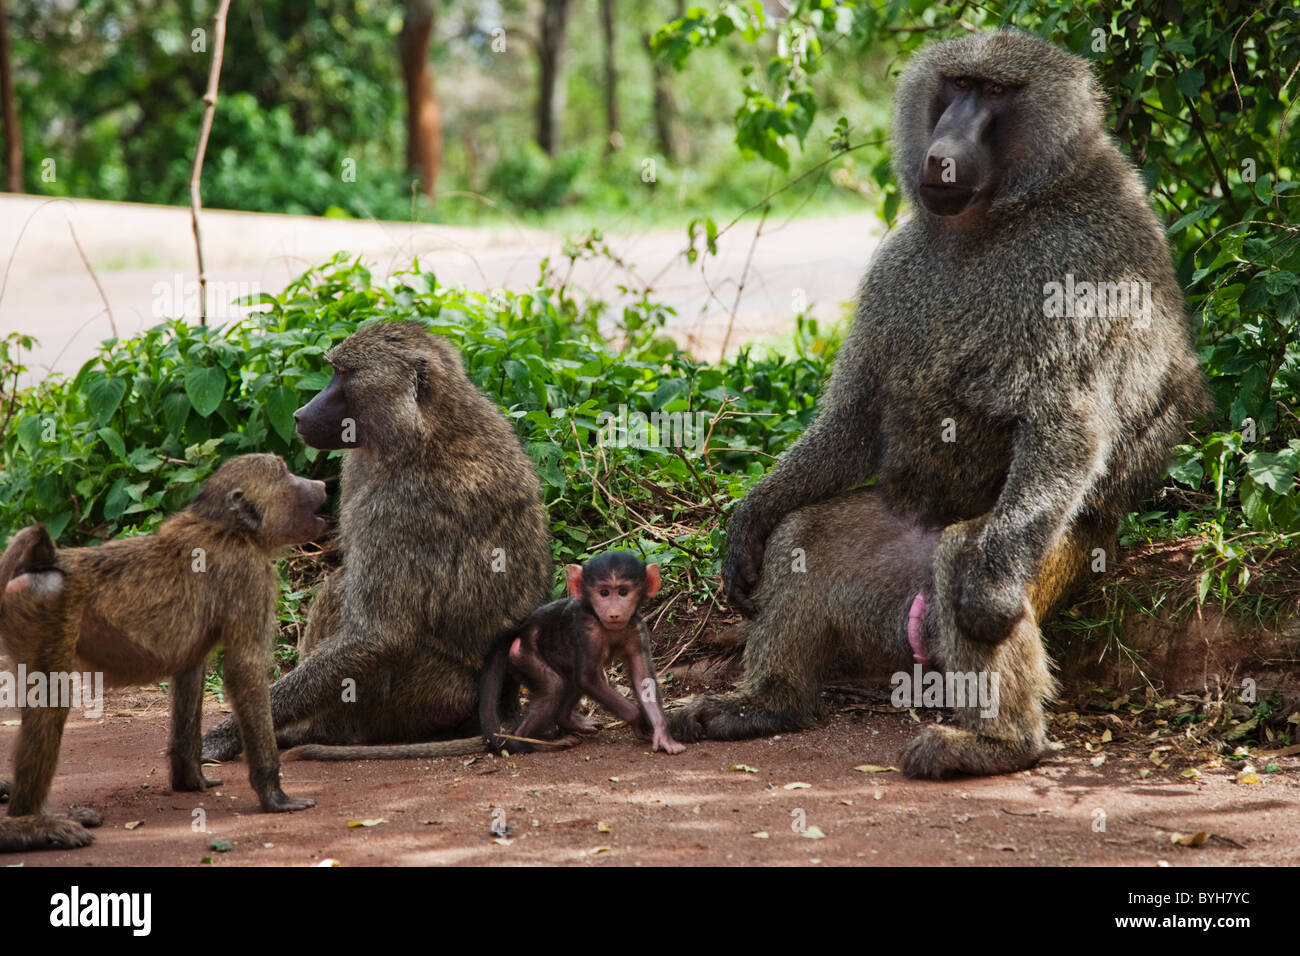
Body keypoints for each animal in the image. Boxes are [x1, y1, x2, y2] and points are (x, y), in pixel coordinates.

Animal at [0, 454, 322, 852]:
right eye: (285, 474)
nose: (320, 484)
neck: (227, 528)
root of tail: (44, 560)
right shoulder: (250, 577)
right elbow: (243, 671)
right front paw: (275, 796)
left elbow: (190, 676)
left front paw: (191, 780)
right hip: (48, 606)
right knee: (50, 703)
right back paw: (30, 826)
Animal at [200, 321, 553, 764]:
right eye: (332, 371)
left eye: (344, 375)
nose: (300, 415)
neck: (422, 428)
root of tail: (502, 705)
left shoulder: (402, 507)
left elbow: (378, 634)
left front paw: (227, 735)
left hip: (426, 693)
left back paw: (313, 731)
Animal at [287, 551, 684, 759]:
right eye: (603, 592)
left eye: (623, 591)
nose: (613, 610)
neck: (609, 627)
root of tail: (516, 632)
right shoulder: (587, 629)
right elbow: (589, 677)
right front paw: (638, 720)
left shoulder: (636, 628)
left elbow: (643, 680)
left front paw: (660, 731)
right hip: (523, 655)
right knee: (557, 684)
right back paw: (532, 742)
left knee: (566, 681)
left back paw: (566, 723)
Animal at [670, 30, 1209, 776]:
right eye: (956, 84)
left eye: (996, 92)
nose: (942, 151)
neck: (999, 215)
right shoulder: (896, 265)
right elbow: (851, 423)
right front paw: (748, 523)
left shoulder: (1086, 261)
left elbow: (1064, 426)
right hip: (892, 533)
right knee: (806, 535)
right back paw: (763, 705)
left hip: (1066, 547)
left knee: (965, 556)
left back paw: (999, 743)